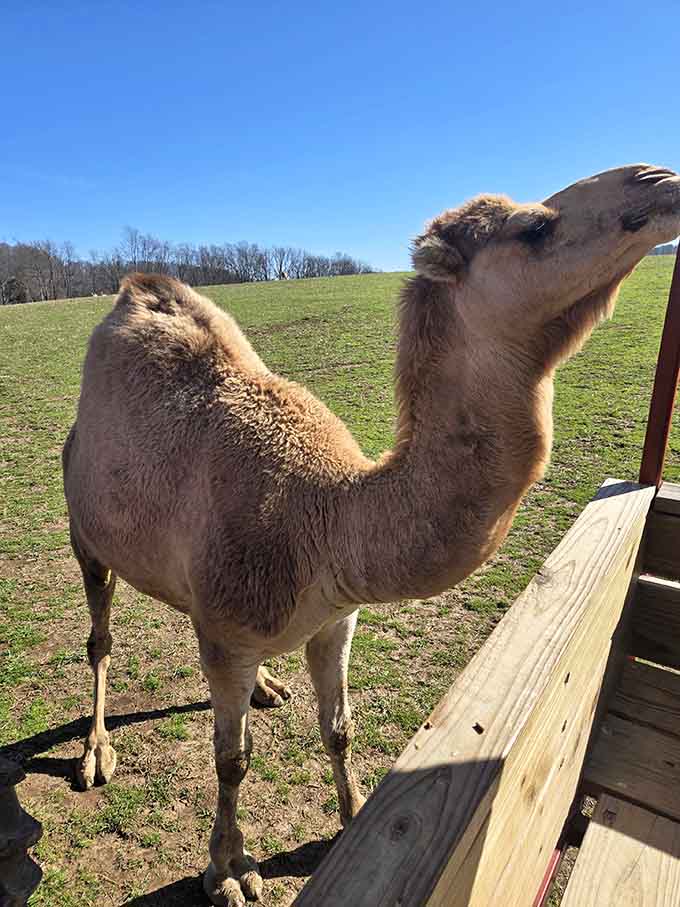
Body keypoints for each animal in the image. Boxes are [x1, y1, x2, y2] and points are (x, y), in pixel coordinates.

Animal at [62, 163, 680, 906]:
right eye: (534, 226)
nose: (659, 180)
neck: (327, 518)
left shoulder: (336, 618)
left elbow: (339, 729)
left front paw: (351, 816)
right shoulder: (233, 632)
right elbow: (232, 759)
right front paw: (230, 870)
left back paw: (267, 686)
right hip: (85, 528)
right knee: (100, 638)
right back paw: (96, 752)